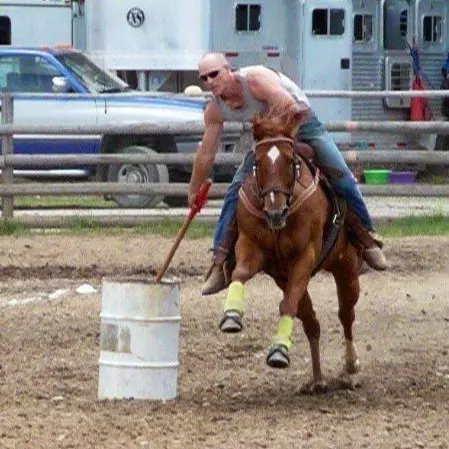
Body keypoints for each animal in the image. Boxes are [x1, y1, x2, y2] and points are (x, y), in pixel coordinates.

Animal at [219, 107, 362, 390]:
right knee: (312, 322)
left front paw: (278, 351)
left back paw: (351, 367)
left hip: (346, 267)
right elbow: (241, 273)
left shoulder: (305, 257)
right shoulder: (251, 247)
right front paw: (232, 315)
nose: (276, 211)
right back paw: (317, 380)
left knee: (346, 314)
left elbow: (288, 307)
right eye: (257, 162)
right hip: (288, 279)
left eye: (290, 160)